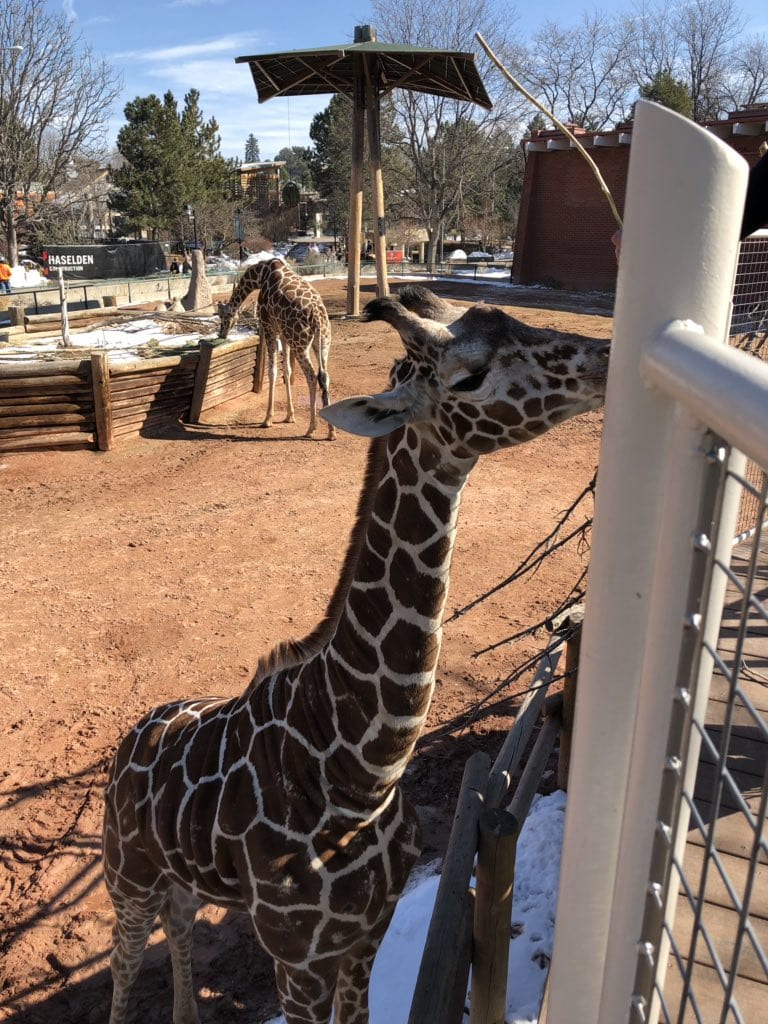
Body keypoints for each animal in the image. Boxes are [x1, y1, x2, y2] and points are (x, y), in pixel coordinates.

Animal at [103, 289, 609, 1024]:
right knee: (123, 965)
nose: (603, 356)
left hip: (181, 882)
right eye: (468, 377)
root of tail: (129, 740)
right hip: (127, 878)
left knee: (179, 930)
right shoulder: (297, 959)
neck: (359, 774)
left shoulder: (368, 933)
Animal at [218, 257, 335, 440]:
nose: (221, 334)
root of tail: (316, 314)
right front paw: (289, 416)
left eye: (222, 316)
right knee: (325, 376)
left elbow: (272, 371)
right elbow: (286, 370)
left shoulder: (268, 326)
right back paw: (331, 431)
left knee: (312, 376)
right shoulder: (283, 334)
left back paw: (311, 428)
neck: (259, 275)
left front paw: (268, 419)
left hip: (300, 343)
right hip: (322, 343)